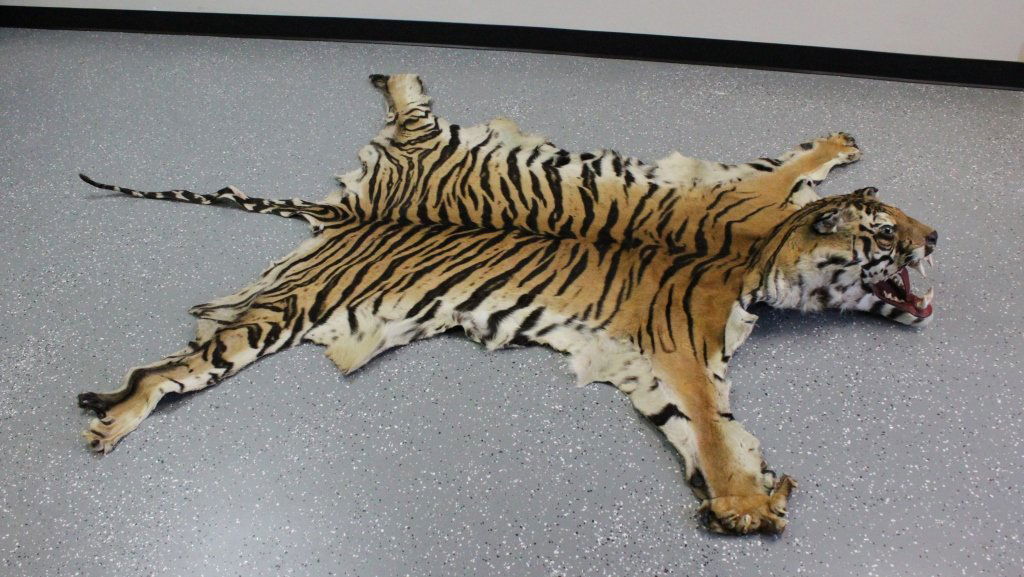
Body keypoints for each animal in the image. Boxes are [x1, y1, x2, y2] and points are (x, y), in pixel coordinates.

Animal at [77, 74, 938, 535]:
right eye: (887, 236)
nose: (936, 236)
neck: (761, 251)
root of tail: (341, 206)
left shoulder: (752, 194)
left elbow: (798, 163)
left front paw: (837, 143)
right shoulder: (684, 353)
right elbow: (716, 437)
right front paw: (746, 503)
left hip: (398, 163)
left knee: (407, 104)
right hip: (274, 318)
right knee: (168, 371)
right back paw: (113, 416)